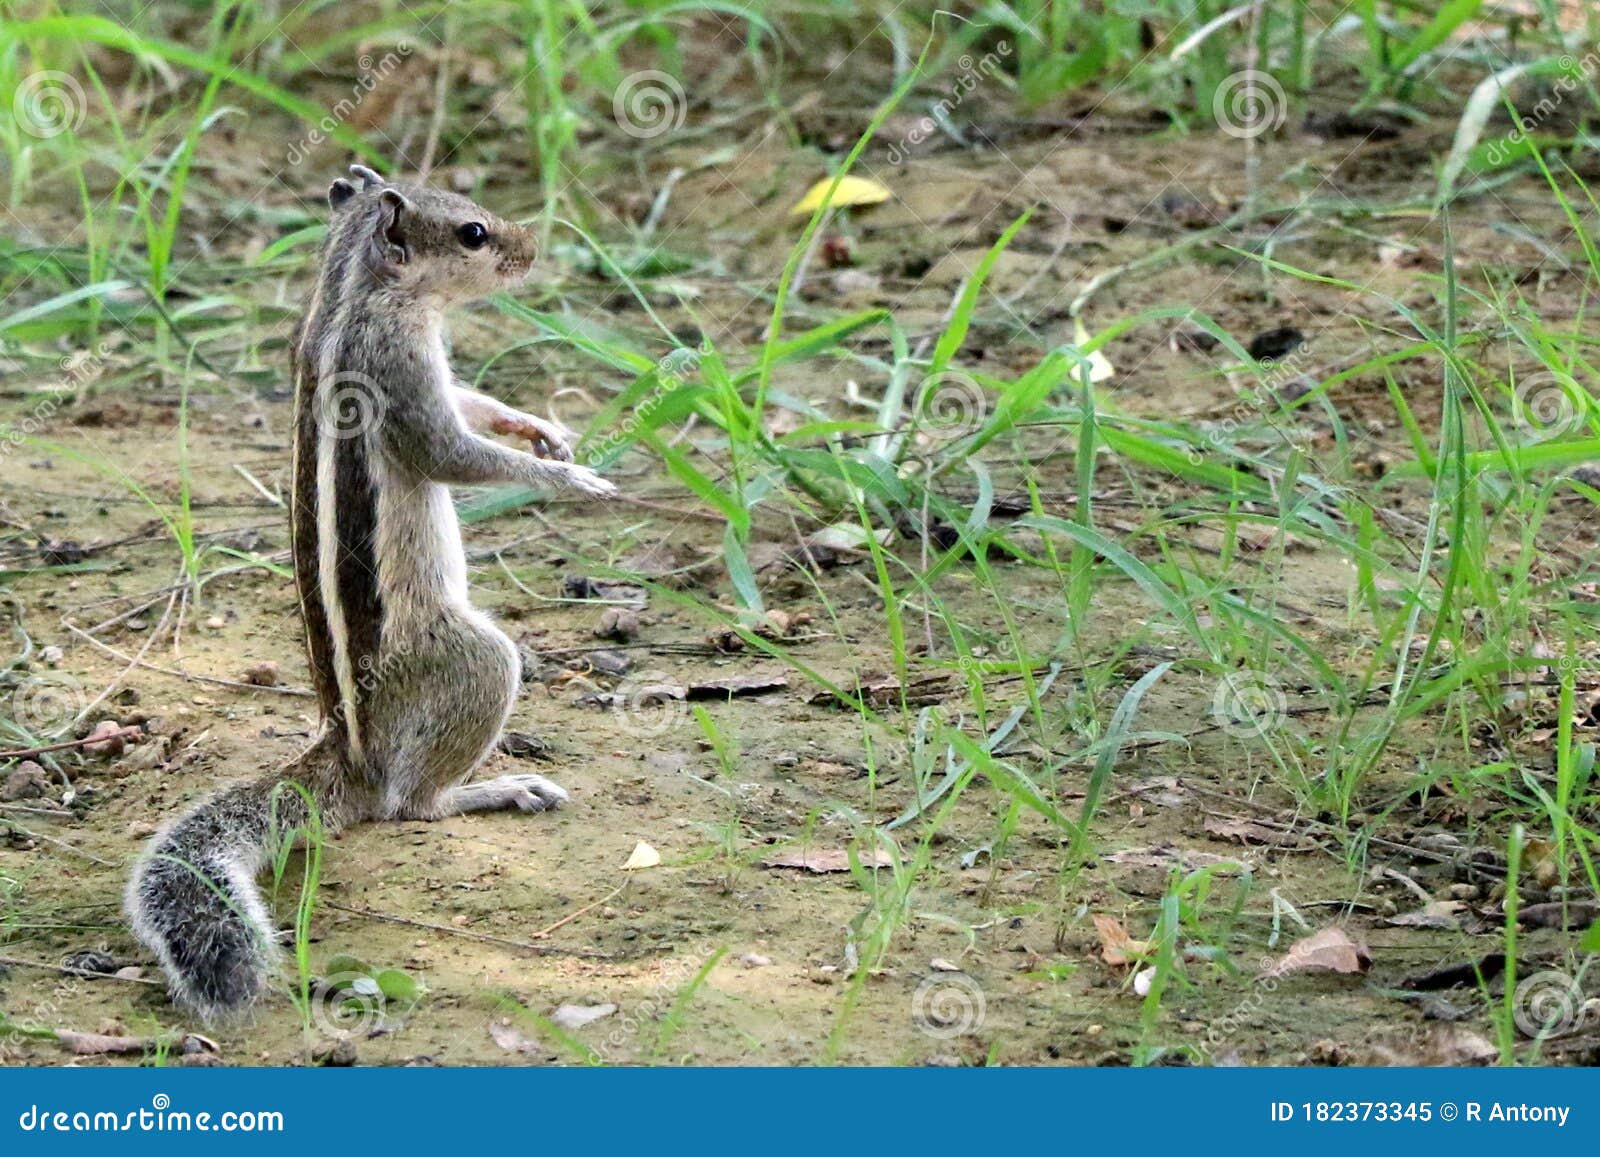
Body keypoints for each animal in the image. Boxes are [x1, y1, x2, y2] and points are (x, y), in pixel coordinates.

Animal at [126, 165, 617, 1020]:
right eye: (473, 233)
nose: (531, 250)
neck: (349, 288)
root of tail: (346, 753)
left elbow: (476, 404)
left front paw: (540, 428)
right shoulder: (397, 367)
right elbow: (451, 449)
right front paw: (566, 477)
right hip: (475, 659)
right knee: (406, 803)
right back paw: (492, 788)